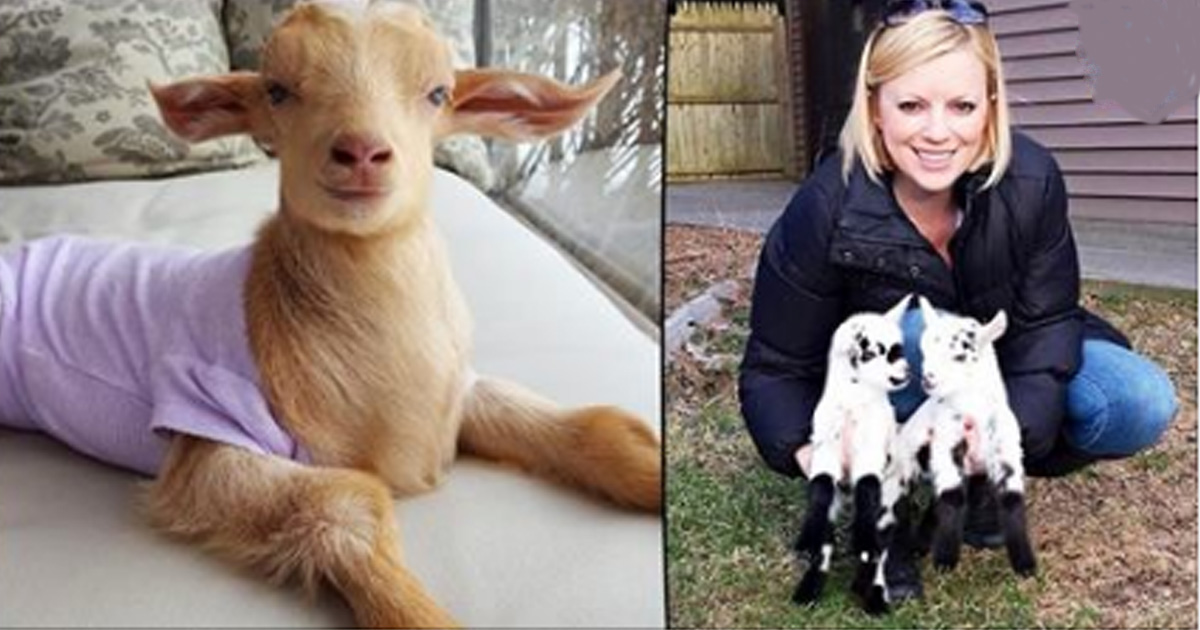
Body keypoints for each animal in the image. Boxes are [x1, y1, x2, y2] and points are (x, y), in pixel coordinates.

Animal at [0, 4, 660, 628]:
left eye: (438, 92)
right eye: (276, 90)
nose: (362, 151)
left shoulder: (454, 390)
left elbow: (584, 426)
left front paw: (655, 478)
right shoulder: (203, 431)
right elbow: (346, 502)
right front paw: (418, 613)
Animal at [792, 294, 911, 615]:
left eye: (899, 349)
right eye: (877, 352)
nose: (907, 371)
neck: (852, 405)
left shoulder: (870, 455)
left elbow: (867, 490)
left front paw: (863, 542)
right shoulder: (824, 454)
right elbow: (819, 489)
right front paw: (806, 536)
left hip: (888, 502)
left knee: (881, 552)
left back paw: (874, 596)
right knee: (826, 545)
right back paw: (809, 590)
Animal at [915, 296, 1035, 577]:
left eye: (960, 356)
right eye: (923, 348)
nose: (928, 379)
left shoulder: (1005, 447)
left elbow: (1012, 499)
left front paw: (1025, 564)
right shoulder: (946, 443)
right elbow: (952, 496)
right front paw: (945, 559)